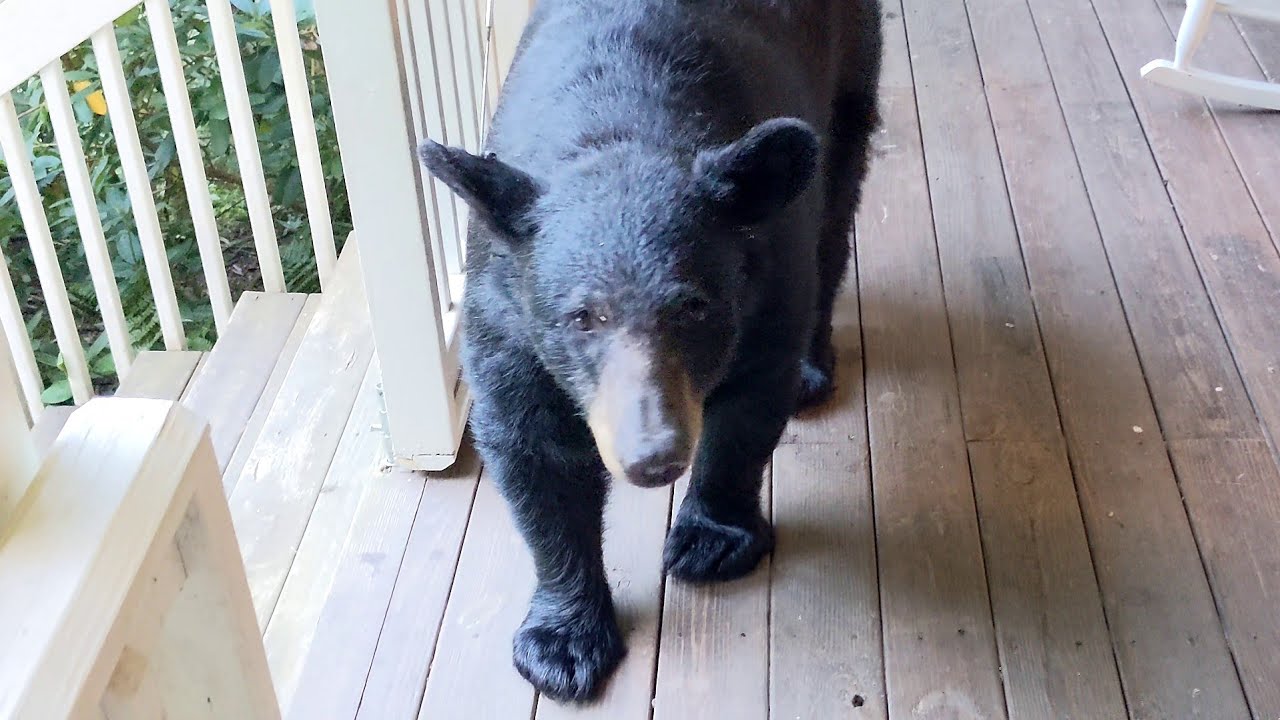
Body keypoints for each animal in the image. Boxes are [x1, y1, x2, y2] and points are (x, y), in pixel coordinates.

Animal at [417, 0, 883, 704]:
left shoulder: (767, 277)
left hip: (851, 71)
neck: (622, 128)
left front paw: (711, 538)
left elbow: (749, 407)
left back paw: (813, 366)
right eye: (583, 316)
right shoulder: (503, 311)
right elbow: (534, 451)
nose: (652, 457)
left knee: (836, 203)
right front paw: (563, 641)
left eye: (693, 306)